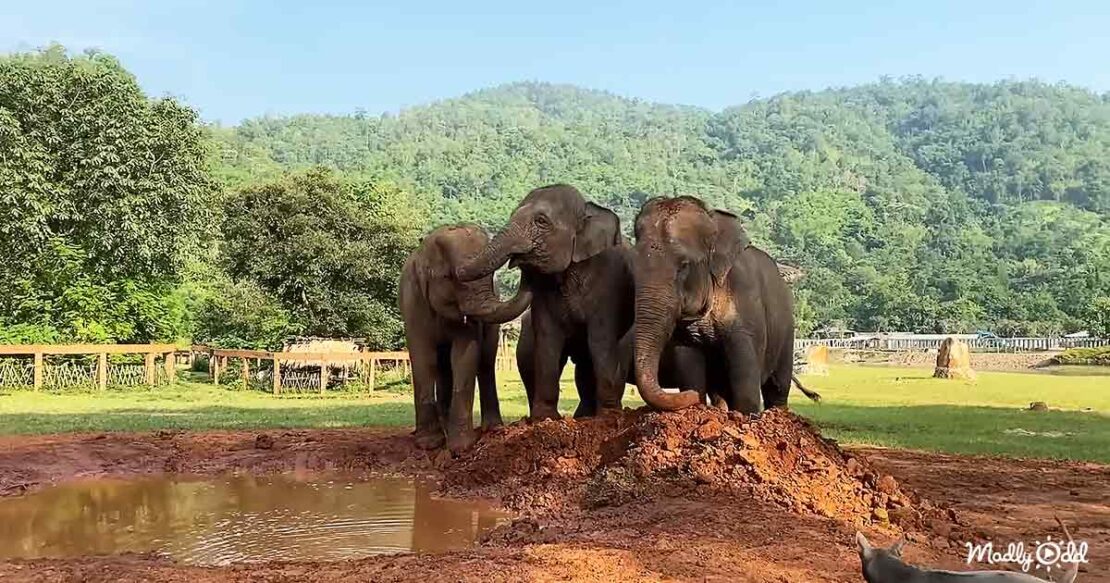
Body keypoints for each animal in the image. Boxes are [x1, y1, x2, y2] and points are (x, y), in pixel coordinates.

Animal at [399, 224, 532, 452]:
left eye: (490, 276)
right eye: (455, 277)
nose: (521, 259)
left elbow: (465, 355)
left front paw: (461, 447)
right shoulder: (414, 302)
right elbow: (423, 358)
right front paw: (429, 444)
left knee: (485, 362)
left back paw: (493, 428)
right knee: (442, 365)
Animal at [628, 195, 819, 414]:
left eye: (684, 265)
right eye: (633, 265)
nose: (688, 397)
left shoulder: (745, 303)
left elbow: (745, 376)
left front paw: (746, 415)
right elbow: (689, 366)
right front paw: (697, 399)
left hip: (787, 331)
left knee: (777, 387)